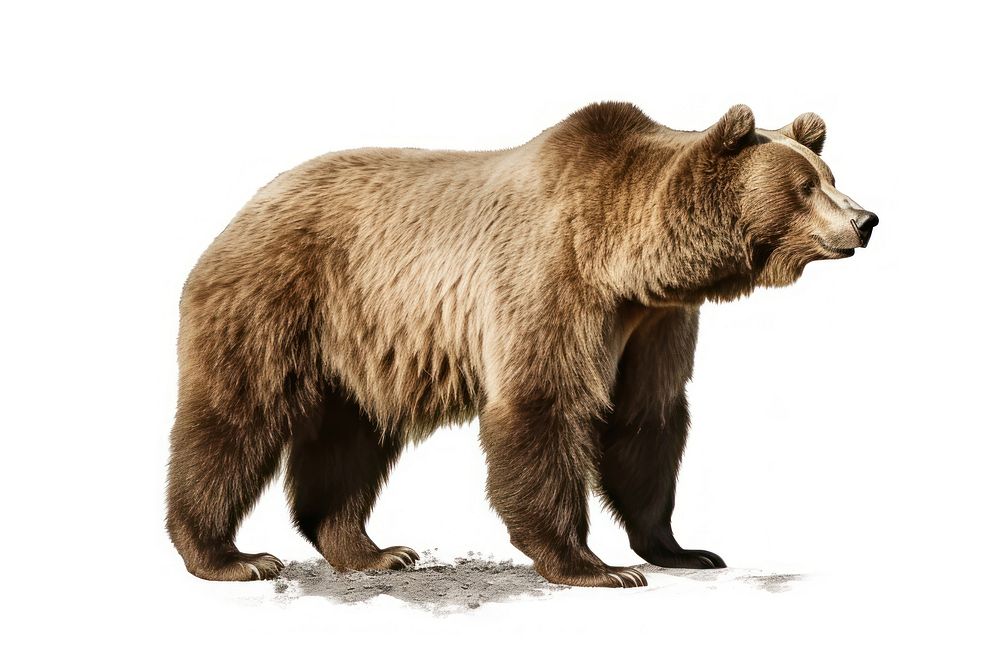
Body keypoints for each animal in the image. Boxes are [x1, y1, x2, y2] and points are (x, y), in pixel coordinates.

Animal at [166, 102, 877, 588]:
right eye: (805, 187)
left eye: (829, 174)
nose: (865, 219)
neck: (627, 265)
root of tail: (247, 204)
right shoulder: (552, 282)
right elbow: (544, 406)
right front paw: (595, 566)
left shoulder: (655, 323)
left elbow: (648, 422)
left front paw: (684, 549)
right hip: (280, 297)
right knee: (236, 416)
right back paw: (229, 556)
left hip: (363, 344)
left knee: (352, 440)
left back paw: (373, 550)